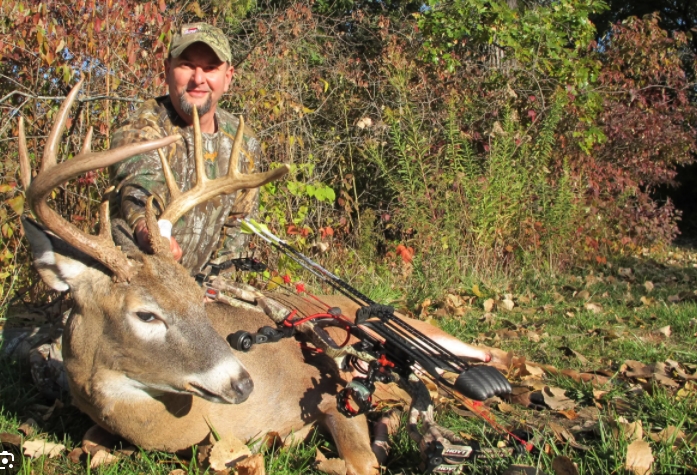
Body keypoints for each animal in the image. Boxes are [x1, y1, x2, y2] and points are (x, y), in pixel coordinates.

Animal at [18, 81, 501, 474]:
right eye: (146, 314)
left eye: (196, 299)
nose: (242, 382)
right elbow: (89, 441)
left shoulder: (330, 393)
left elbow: (361, 462)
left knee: (482, 354)